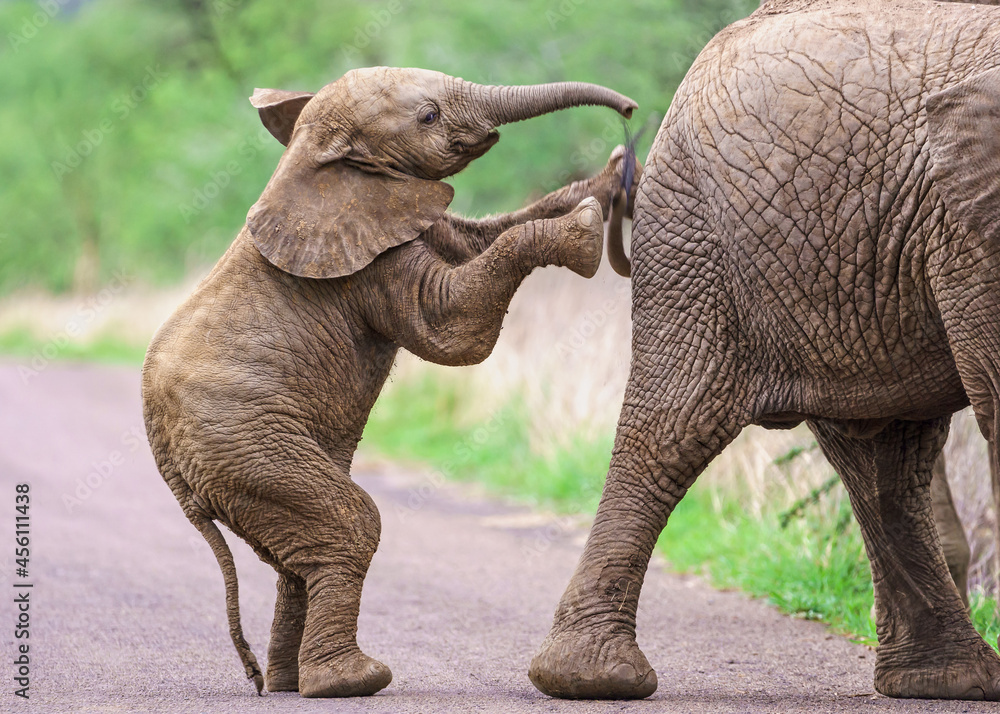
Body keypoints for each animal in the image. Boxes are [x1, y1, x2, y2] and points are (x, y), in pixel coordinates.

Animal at [141, 66, 638, 698]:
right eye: (428, 115)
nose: (630, 109)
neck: (317, 156)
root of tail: (163, 453)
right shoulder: (368, 262)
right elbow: (452, 328)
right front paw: (586, 226)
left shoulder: (393, 214)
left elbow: (476, 236)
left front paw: (613, 174)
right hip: (239, 443)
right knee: (349, 524)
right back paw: (351, 681)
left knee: (297, 558)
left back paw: (288, 683)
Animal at [530, 0, 1000, 701]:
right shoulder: (971, 224)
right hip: (698, 238)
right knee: (671, 428)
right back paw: (593, 679)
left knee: (886, 452)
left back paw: (948, 682)